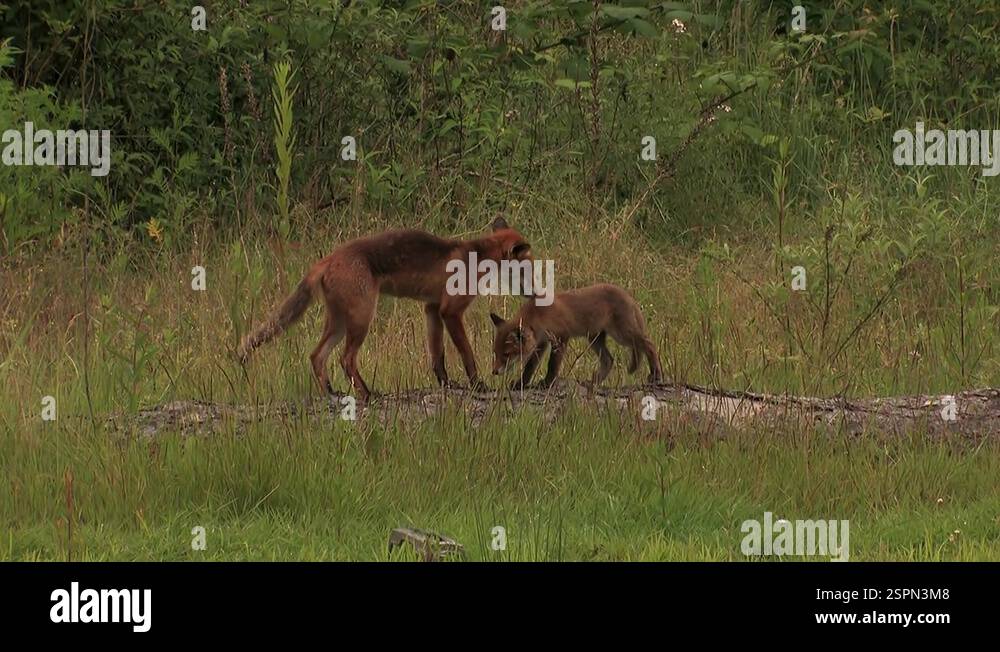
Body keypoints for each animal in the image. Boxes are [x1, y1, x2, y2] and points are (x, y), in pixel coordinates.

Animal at [239, 217, 531, 401]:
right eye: (527, 268)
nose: (535, 292)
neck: (477, 256)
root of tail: (330, 257)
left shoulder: (432, 308)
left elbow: (437, 356)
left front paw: (447, 384)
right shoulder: (451, 311)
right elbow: (466, 353)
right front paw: (478, 385)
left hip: (339, 321)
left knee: (316, 356)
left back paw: (331, 393)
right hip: (362, 318)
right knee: (345, 359)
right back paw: (367, 394)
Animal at [490, 283, 663, 389]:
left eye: (506, 354)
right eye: (496, 353)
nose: (494, 372)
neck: (538, 315)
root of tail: (628, 295)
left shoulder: (561, 337)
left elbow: (553, 365)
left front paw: (547, 383)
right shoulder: (541, 343)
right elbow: (529, 367)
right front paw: (520, 384)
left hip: (622, 334)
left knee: (649, 344)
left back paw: (656, 375)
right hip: (595, 340)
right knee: (609, 360)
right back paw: (593, 383)